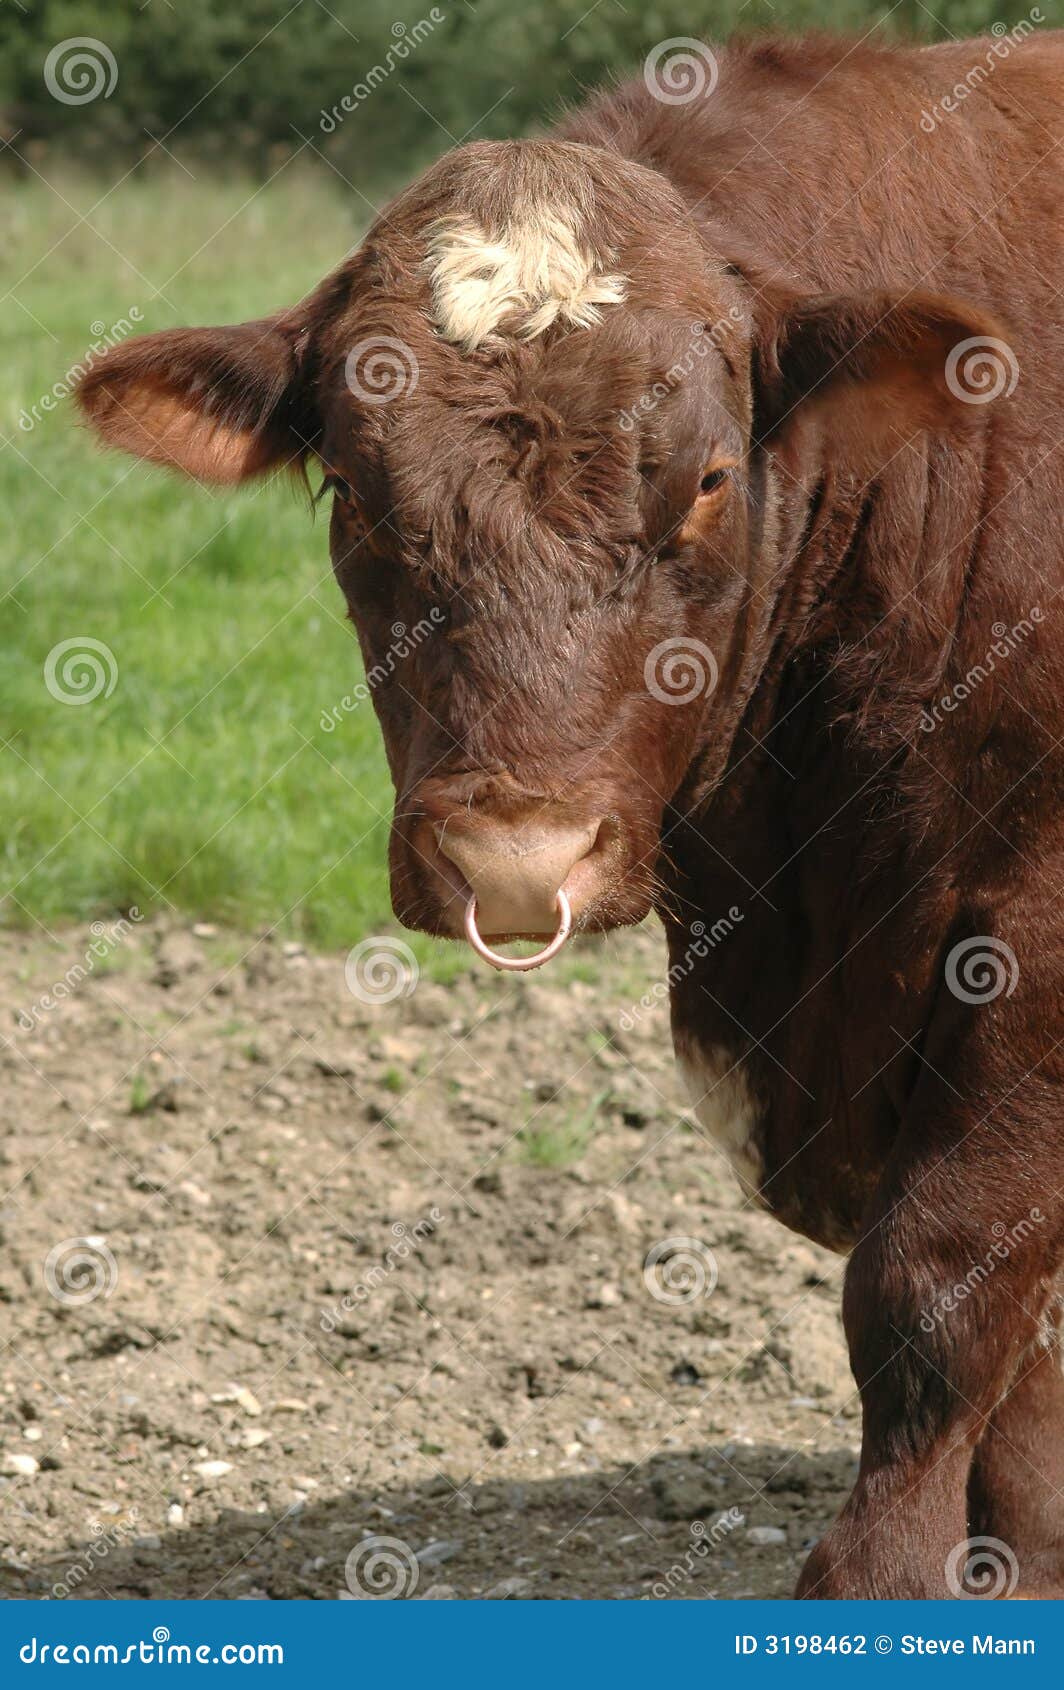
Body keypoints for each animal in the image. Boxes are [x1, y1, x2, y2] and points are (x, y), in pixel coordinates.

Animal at [76, 30, 1064, 1599]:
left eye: (710, 480)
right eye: (355, 490)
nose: (515, 859)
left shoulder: (1027, 925)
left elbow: (941, 1284)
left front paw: (887, 1579)